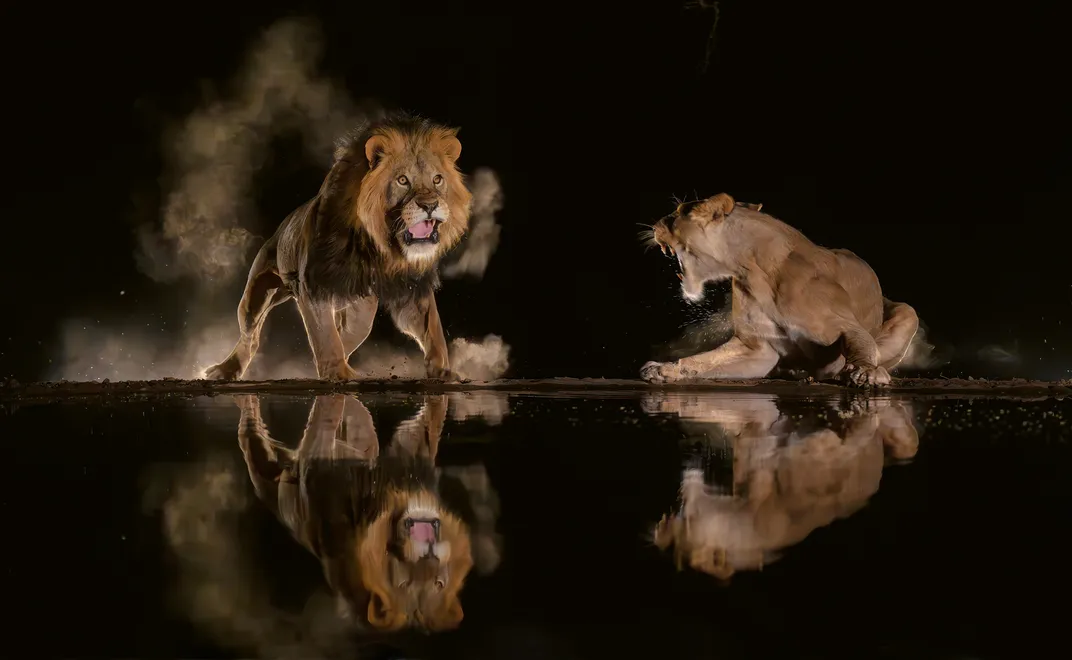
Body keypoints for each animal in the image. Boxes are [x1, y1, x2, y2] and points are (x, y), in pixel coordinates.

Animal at [206, 112, 473, 382]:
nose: (429, 205)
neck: (381, 247)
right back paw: (225, 370)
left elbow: (433, 329)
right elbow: (326, 336)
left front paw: (444, 371)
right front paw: (337, 372)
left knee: (355, 328)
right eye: (402, 180)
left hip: (361, 303)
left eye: (437, 179)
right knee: (250, 337)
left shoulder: (412, 285)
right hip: (256, 294)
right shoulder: (313, 285)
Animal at [234, 393, 502, 632]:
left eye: (439, 584)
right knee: (251, 436)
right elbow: (325, 416)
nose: (428, 551)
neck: (384, 496)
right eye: (402, 582)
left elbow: (432, 420)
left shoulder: (411, 452)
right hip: (262, 469)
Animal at [641, 193, 919, 387]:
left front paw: (865, 372)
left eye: (677, 214)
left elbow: (861, 345)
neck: (751, 272)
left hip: (907, 311)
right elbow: (705, 359)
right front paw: (666, 368)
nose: (654, 225)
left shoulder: (844, 325)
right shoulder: (757, 349)